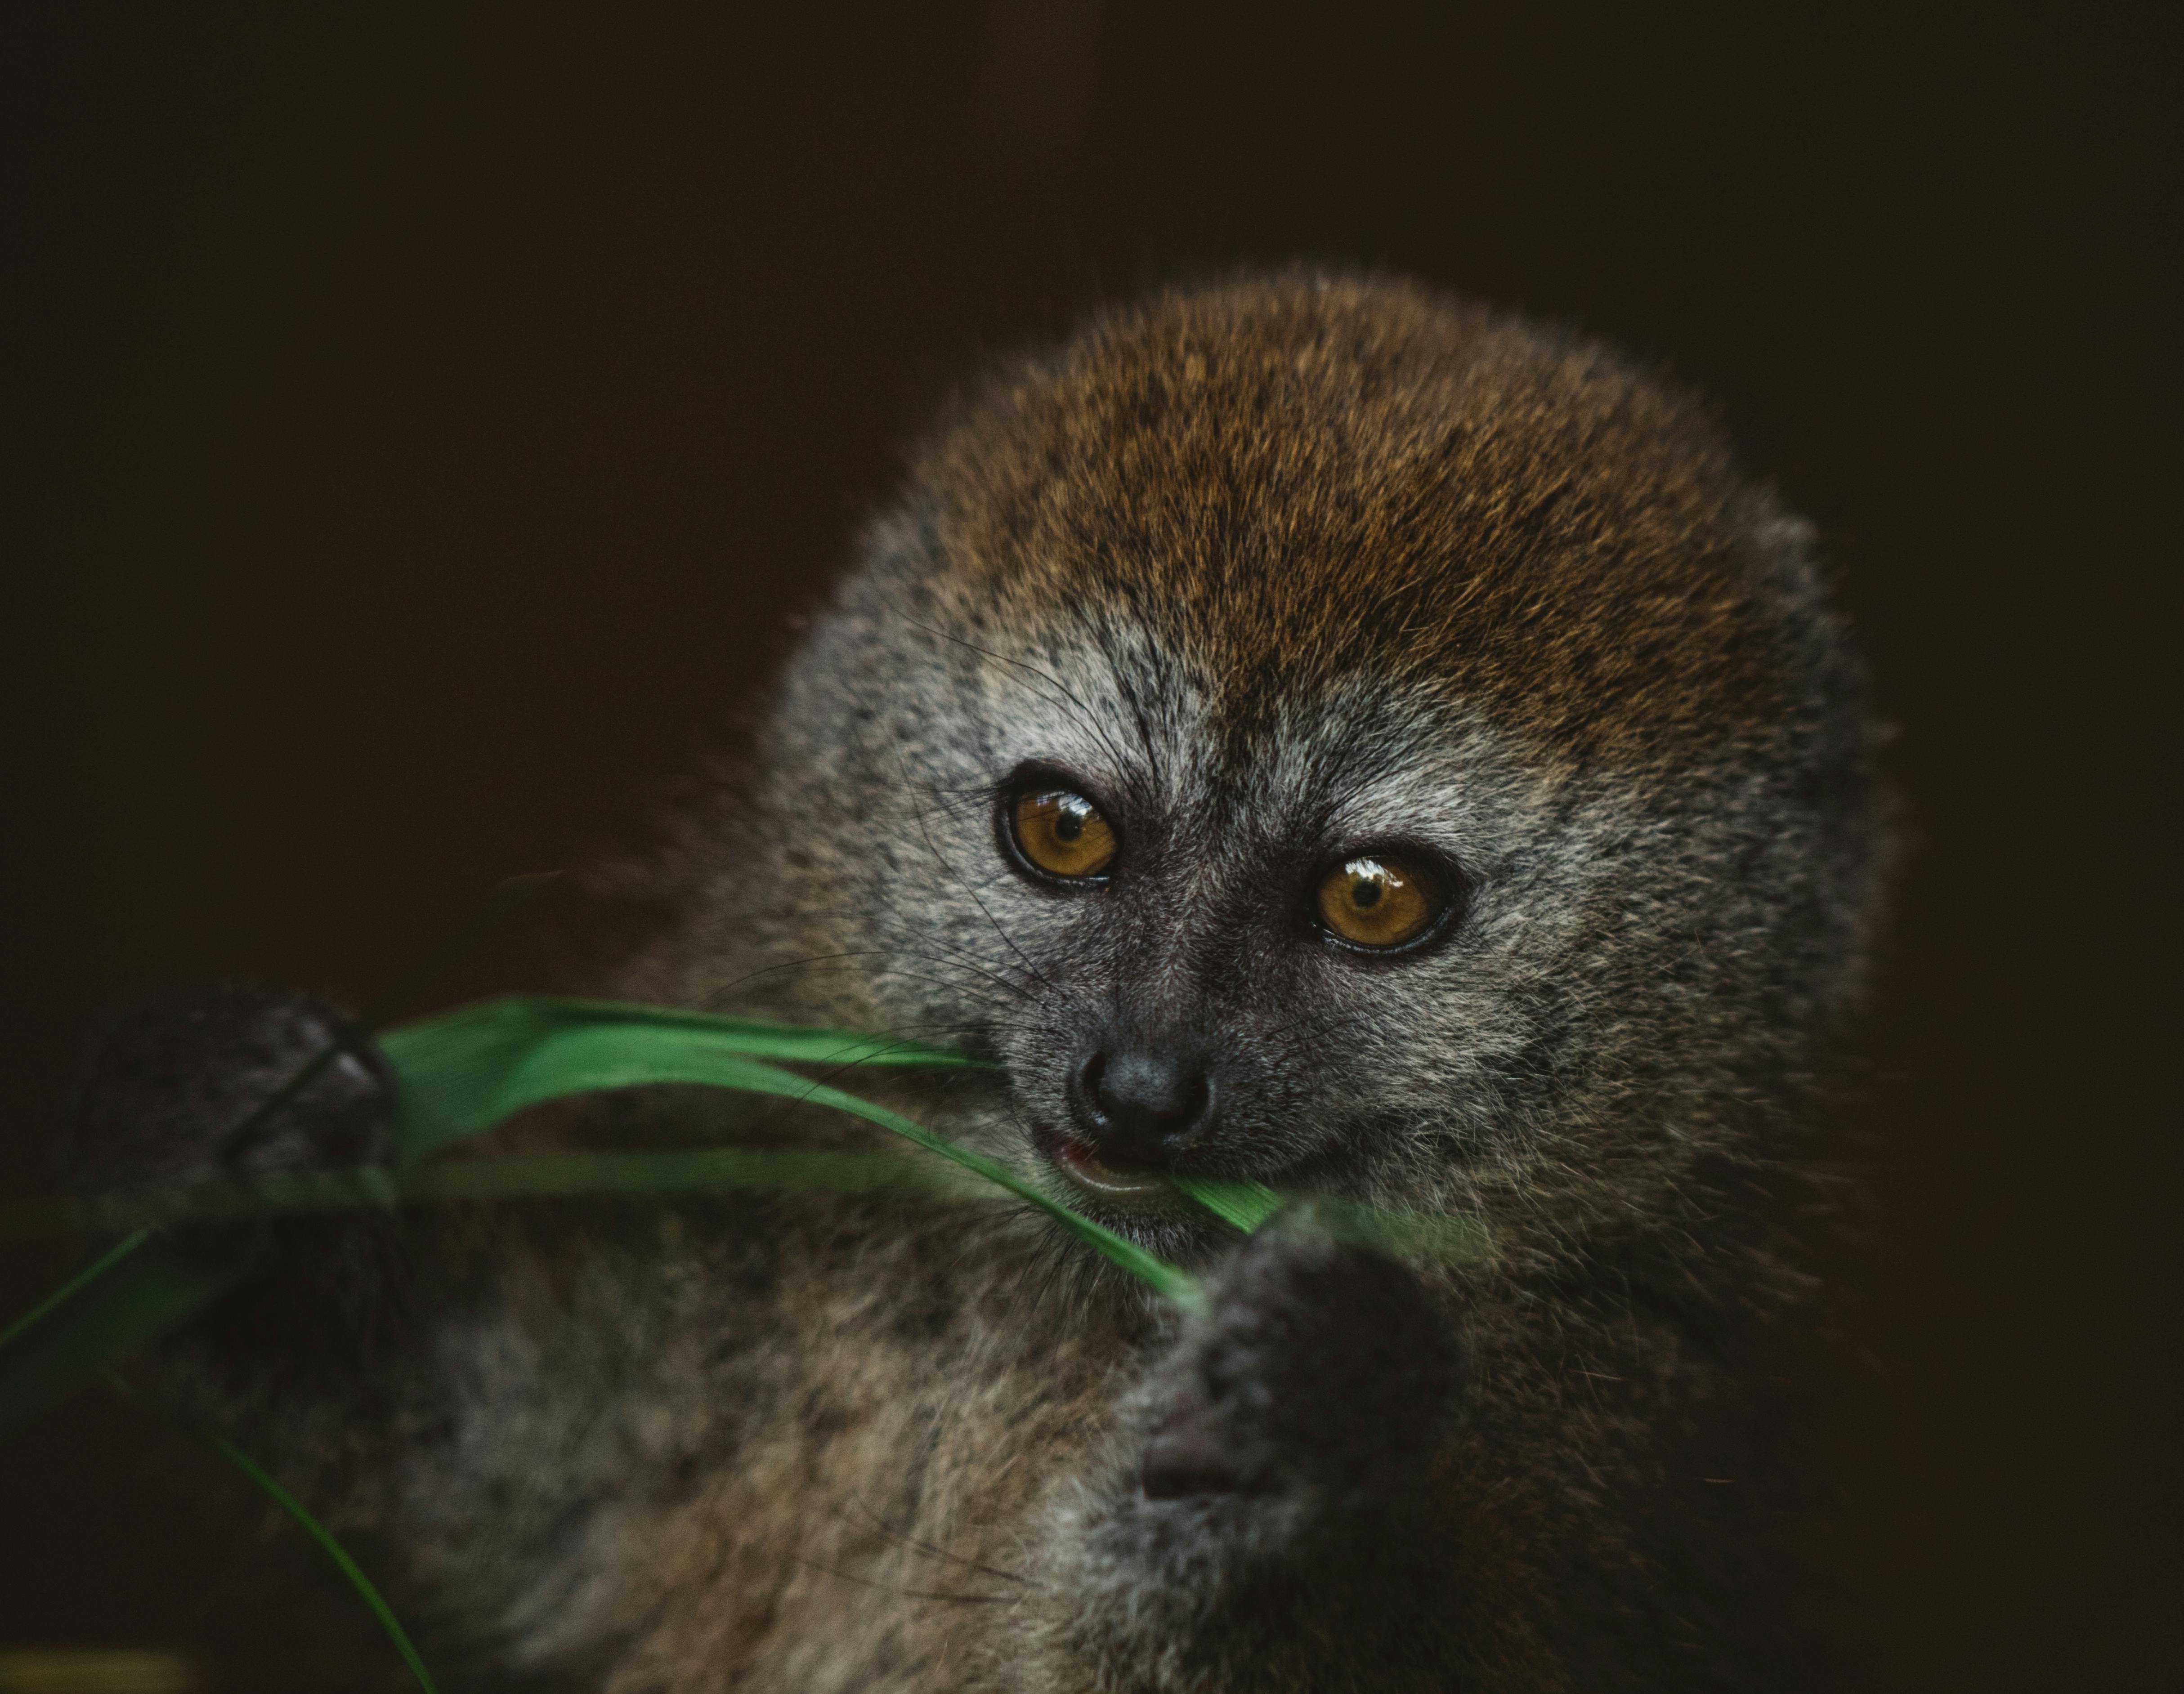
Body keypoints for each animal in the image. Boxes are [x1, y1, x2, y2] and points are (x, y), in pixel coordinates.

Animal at [57, 272, 1883, 1692]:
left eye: (1372, 899)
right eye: (1063, 829)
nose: (1135, 1086)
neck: (1033, 1291)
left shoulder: (1622, 1452)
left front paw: (1305, 1448)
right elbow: (500, 1485)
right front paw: (217, 1144)